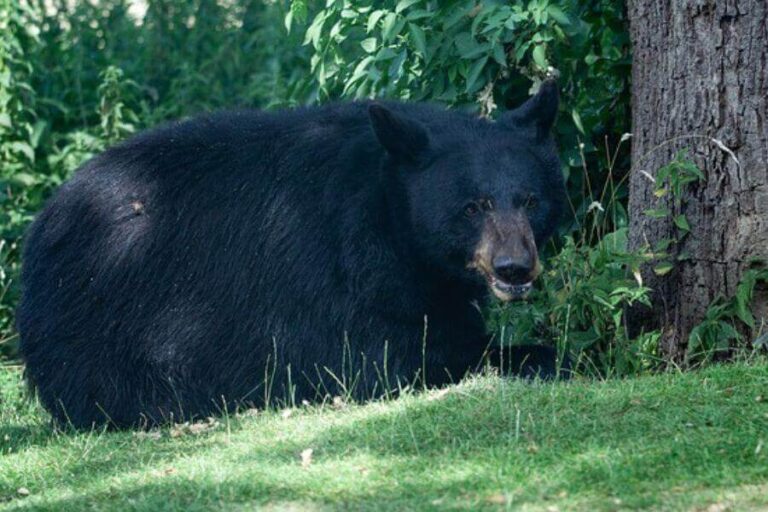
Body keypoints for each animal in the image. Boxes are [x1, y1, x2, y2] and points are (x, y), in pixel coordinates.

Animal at [16, 81, 567, 429]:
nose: (515, 268)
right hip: (108, 313)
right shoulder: (340, 272)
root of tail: (42, 226)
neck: (390, 214)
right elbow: (392, 357)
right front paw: (544, 355)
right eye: (473, 206)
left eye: (530, 200)